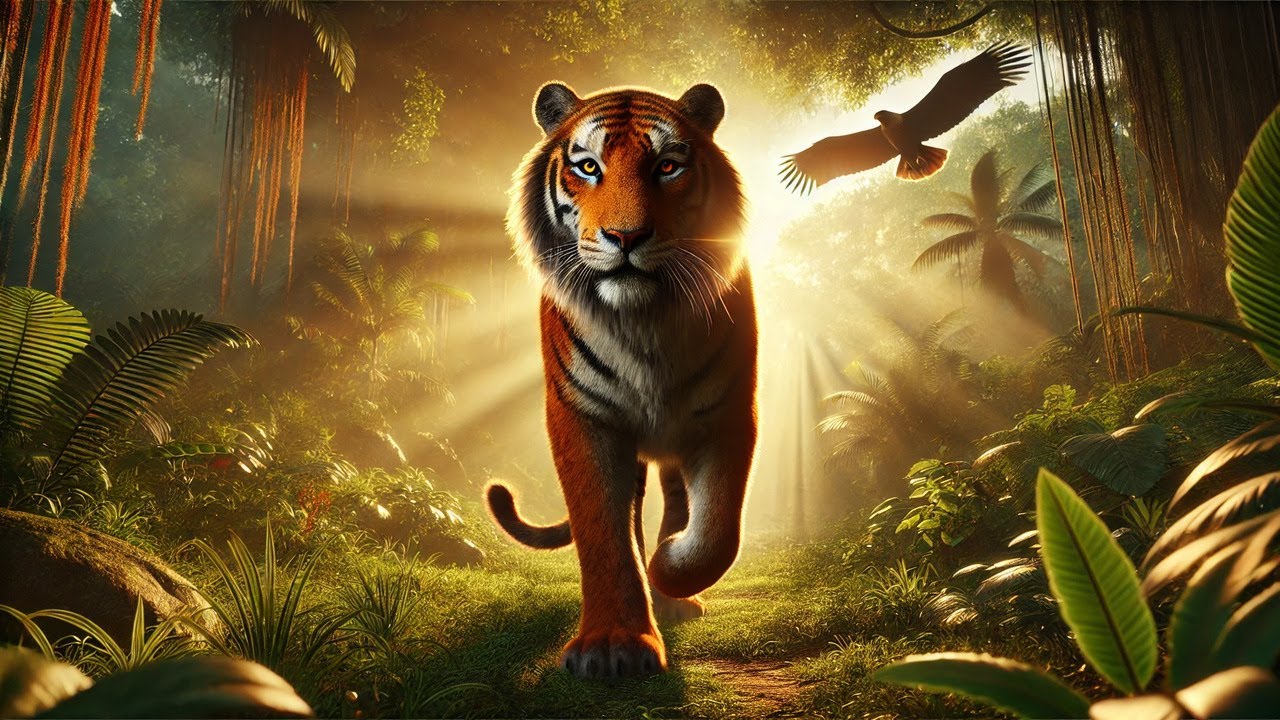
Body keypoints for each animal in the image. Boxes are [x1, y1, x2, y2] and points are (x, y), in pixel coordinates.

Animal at [485, 81, 758, 679]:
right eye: (588, 166)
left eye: (667, 166)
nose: (626, 236)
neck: (642, 322)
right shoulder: (582, 416)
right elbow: (602, 530)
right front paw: (613, 644)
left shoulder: (727, 413)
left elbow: (716, 532)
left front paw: (670, 564)